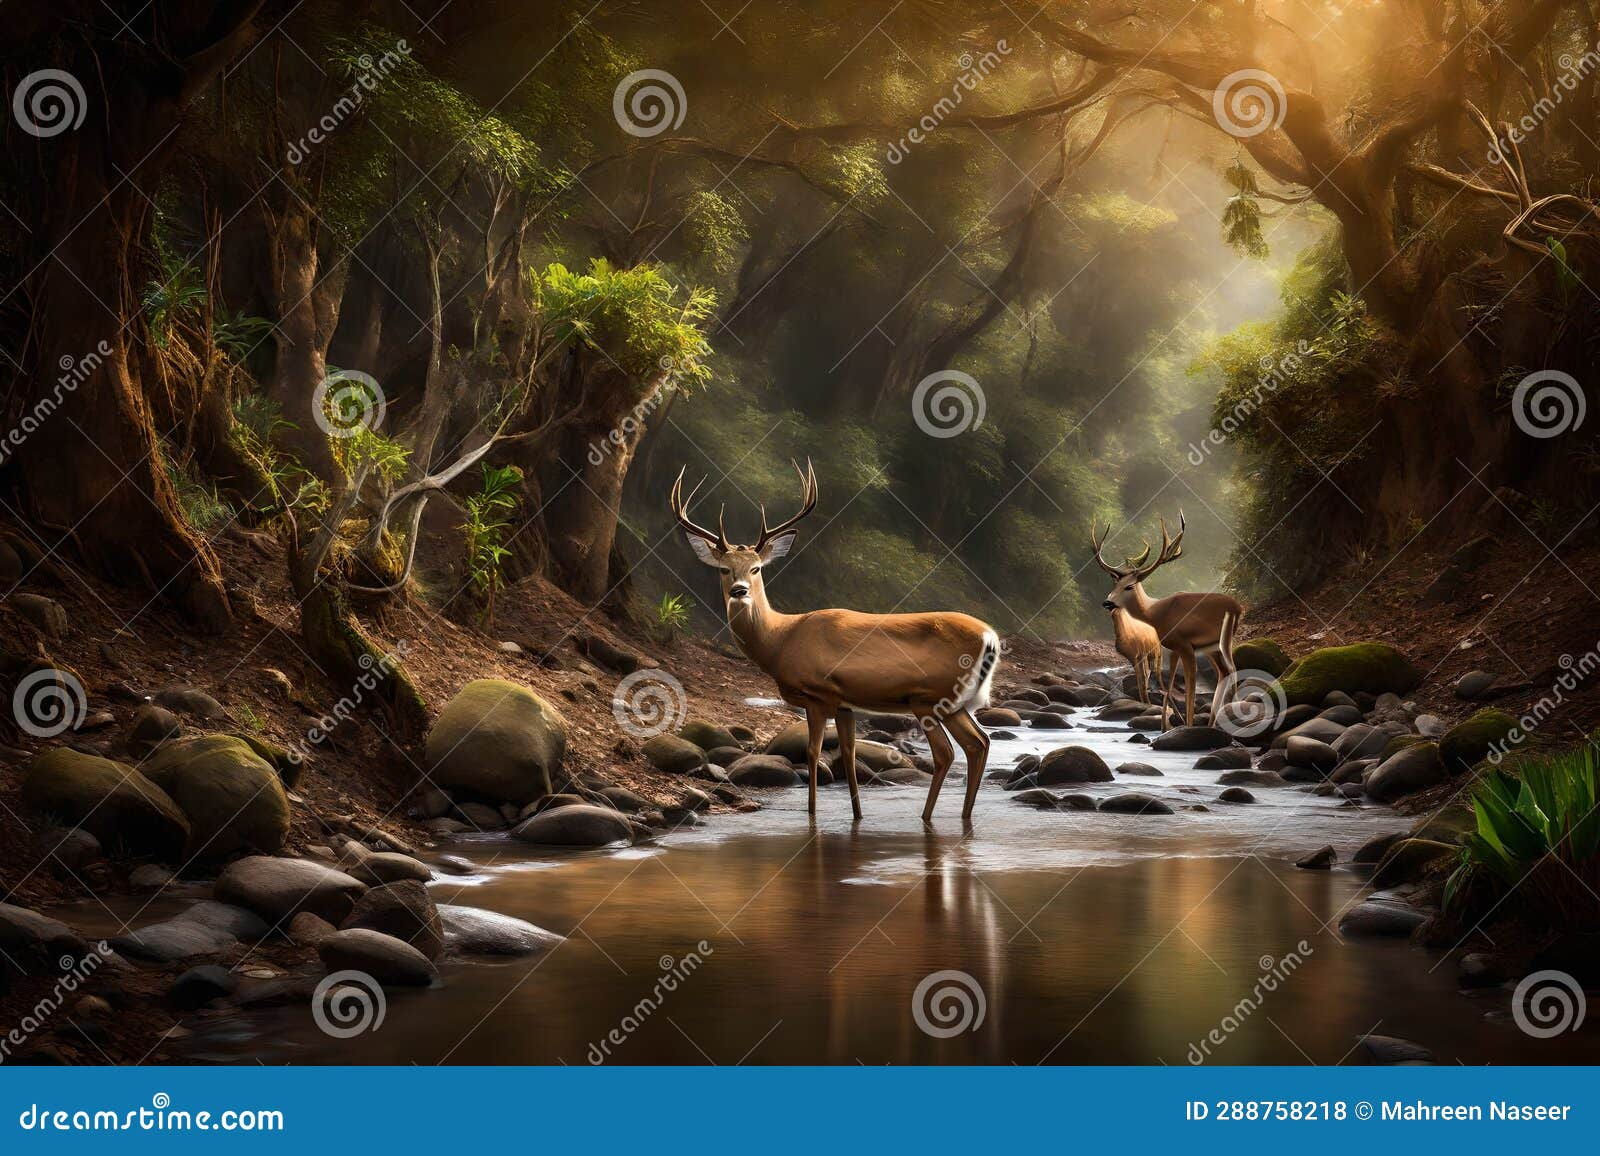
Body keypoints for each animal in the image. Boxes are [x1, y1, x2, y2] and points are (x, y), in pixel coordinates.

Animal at [671, 461, 1000, 823]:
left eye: (756, 568)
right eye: (724, 569)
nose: (739, 590)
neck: (781, 639)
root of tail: (990, 636)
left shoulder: (817, 695)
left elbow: (813, 751)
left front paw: (812, 813)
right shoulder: (844, 703)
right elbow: (849, 750)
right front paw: (857, 815)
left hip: (928, 697)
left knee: (947, 752)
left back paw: (927, 817)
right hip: (953, 702)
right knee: (979, 742)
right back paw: (963, 816)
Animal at [1091, 513, 1243, 730]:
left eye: (1129, 586)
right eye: (1115, 584)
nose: (1107, 602)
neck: (1156, 613)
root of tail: (1238, 607)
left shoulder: (1185, 645)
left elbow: (1190, 688)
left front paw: (1187, 726)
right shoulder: (1173, 648)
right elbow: (1169, 684)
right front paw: (1166, 726)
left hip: (1224, 638)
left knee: (1232, 669)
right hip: (1211, 647)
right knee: (1224, 672)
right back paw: (1212, 724)